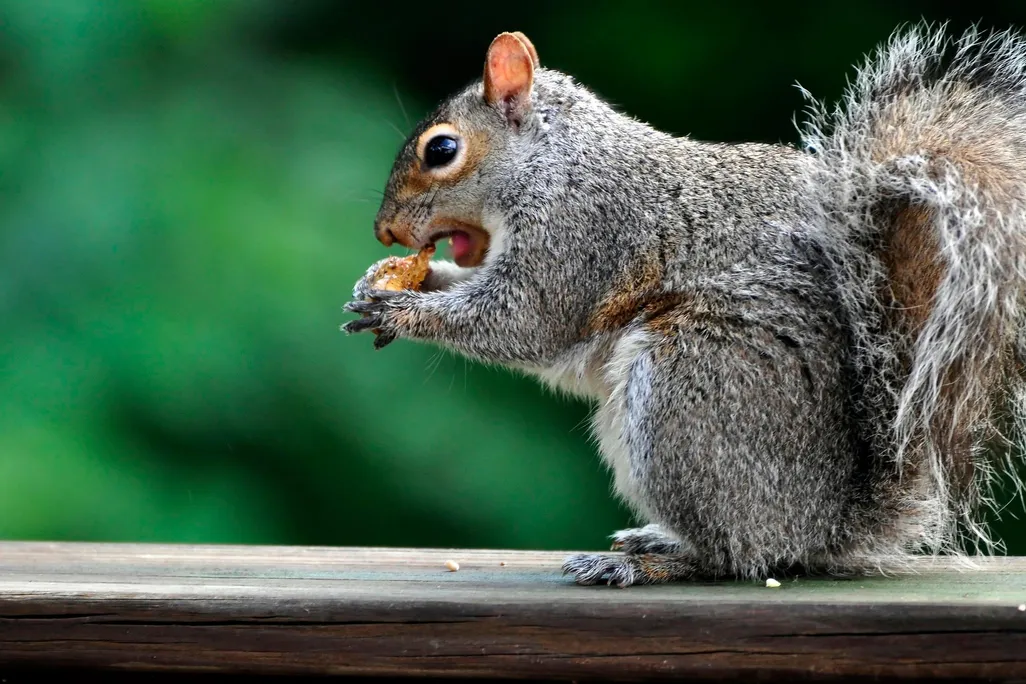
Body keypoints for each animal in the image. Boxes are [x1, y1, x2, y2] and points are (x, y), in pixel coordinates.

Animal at [344, 26, 1026, 587]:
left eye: (441, 151)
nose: (384, 232)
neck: (554, 162)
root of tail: (826, 524)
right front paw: (391, 281)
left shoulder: (580, 234)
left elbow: (521, 321)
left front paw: (399, 309)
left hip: (685, 386)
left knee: (737, 554)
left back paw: (647, 563)